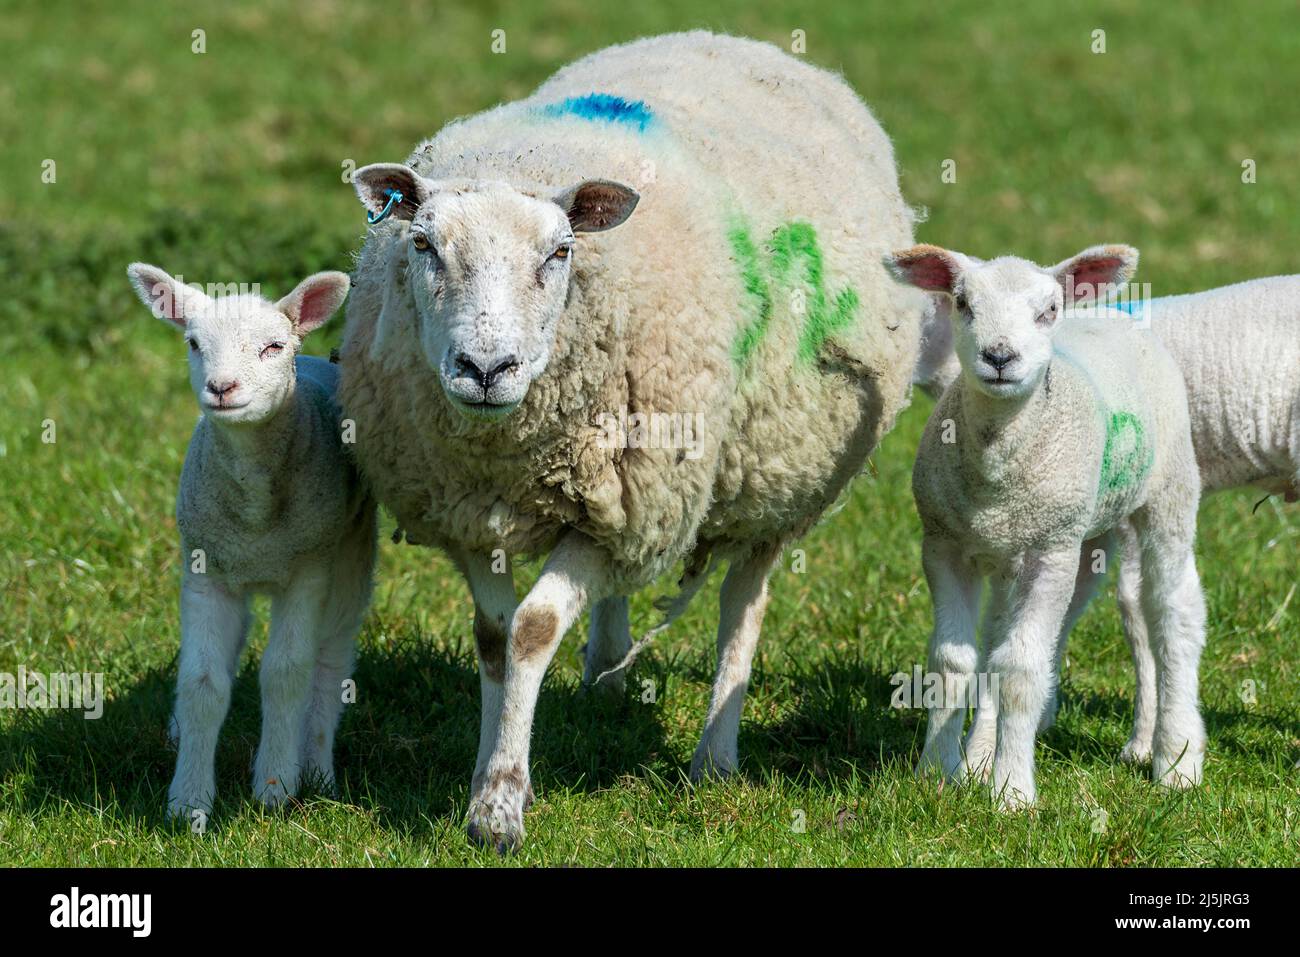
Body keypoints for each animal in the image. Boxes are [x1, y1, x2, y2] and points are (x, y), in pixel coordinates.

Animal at [125, 263, 377, 821]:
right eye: (194, 343)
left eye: (273, 346)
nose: (222, 387)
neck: (257, 512)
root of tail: (317, 360)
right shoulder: (206, 573)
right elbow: (203, 683)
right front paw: (189, 802)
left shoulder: (307, 572)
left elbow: (285, 675)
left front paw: (275, 788)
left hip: (351, 553)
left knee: (330, 661)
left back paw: (317, 768)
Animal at [338, 30, 924, 850]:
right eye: (422, 244)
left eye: (559, 253)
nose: (485, 368)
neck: (502, 450)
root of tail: (728, 38)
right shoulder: (465, 510)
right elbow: (493, 636)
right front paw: (488, 781)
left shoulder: (620, 512)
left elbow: (532, 629)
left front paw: (501, 806)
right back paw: (607, 673)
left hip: (779, 472)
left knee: (744, 601)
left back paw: (715, 757)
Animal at [885, 242, 1207, 807]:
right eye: (963, 303)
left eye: (1048, 311)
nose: (999, 357)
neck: (998, 468)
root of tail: (1109, 311)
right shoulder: (944, 544)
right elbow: (954, 660)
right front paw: (937, 774)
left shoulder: (1049, 550)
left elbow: (1020, 667)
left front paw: (1012, 793)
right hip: (1072, 535)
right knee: (1003, 631)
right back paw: (978, 756)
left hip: (1165, 492)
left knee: (1173, 609)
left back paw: (1176, 758)